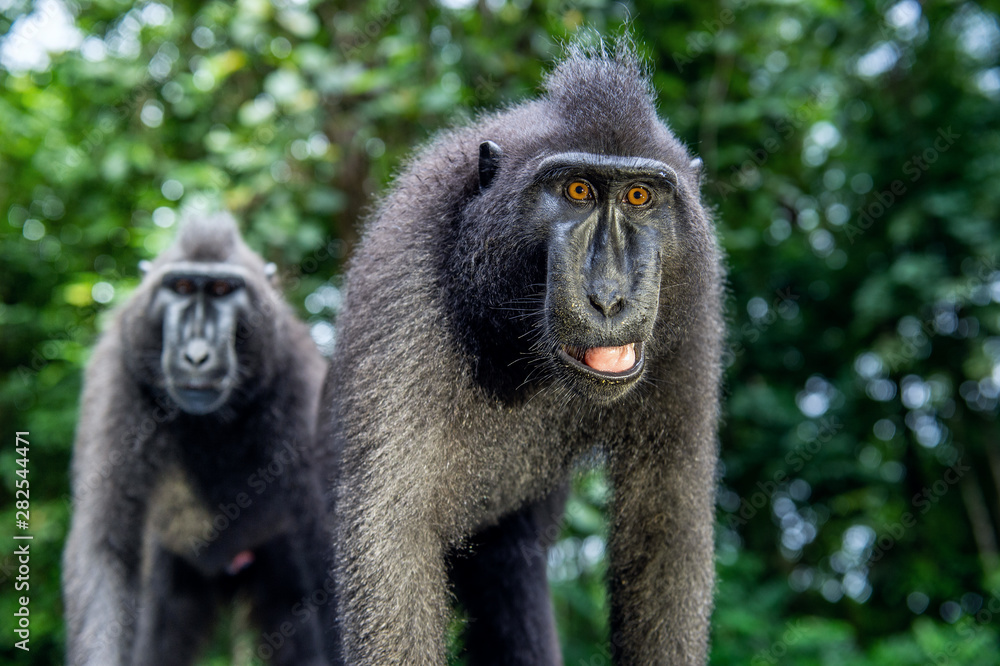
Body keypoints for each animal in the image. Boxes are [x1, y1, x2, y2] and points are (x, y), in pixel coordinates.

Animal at [63, 213, 337, 666]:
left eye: (223, 290)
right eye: (182, 287)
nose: (196, 355)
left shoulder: (298, 379)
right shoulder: (117, 375)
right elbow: (105, 547)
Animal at [322, 38, 724, 666]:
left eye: (639, 195)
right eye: (577, 190)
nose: (609, 296)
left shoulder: (693, 318)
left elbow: (663, 530)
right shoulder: (407, 284)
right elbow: (395, 541)